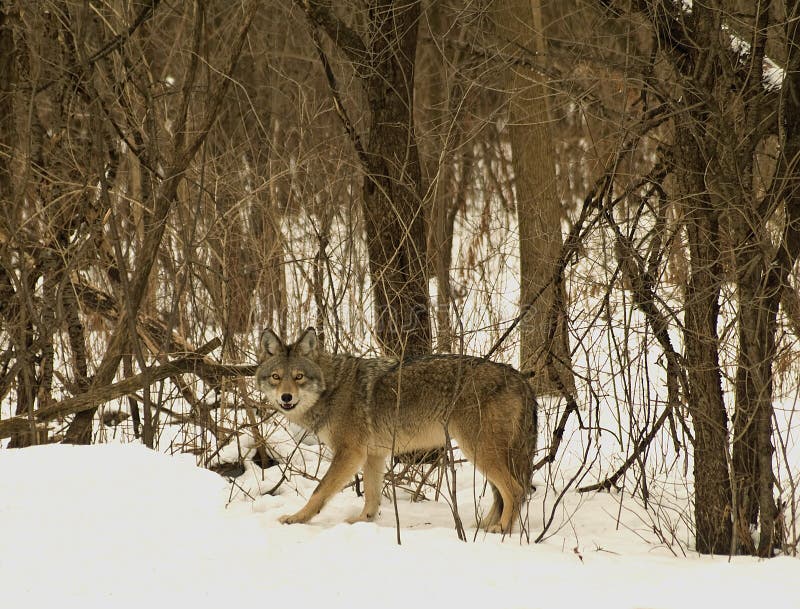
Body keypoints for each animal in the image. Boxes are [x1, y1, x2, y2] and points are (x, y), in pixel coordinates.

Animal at [255, 327, 538, 533]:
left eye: (299, 377)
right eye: (276, 377)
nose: (286, 398)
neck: (331, 388)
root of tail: (520, 378)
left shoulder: (349, 454)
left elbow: (318, 492)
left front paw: (296, 519)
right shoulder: (373, 455)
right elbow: (371, 497)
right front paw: (363, 521)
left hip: (478, 450)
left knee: (515, 490)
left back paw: (501, 529)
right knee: (504, 494)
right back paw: (486, 525)